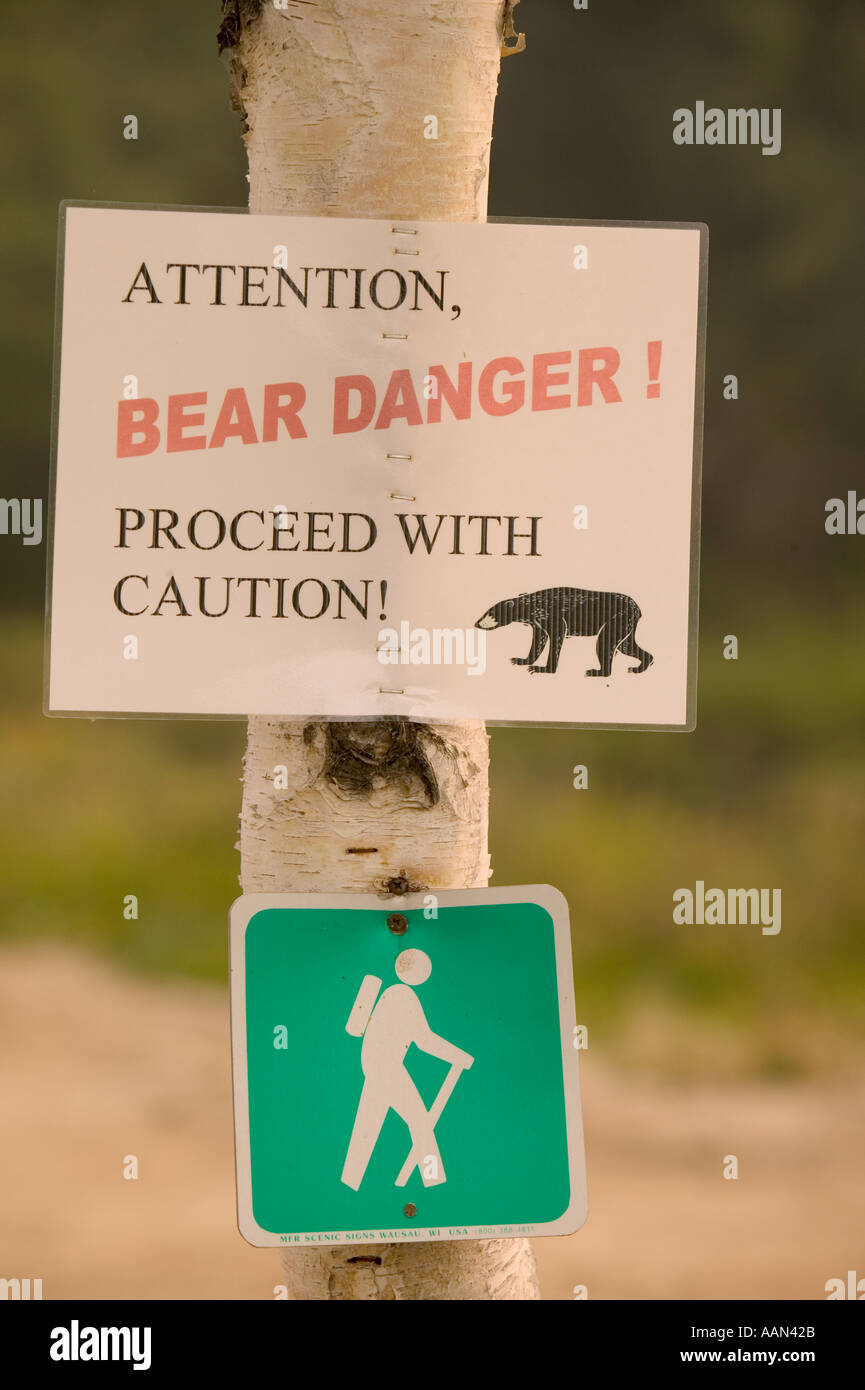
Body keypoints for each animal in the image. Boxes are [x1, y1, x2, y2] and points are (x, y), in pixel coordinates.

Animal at [475, 587, 653, 676]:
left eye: (490, 612)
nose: (477, 623)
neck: (530, 605)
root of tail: (637, 609)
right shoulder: (537, 622)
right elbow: (538, 641)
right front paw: (522, 660)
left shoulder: (548, 613)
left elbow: (557, 635)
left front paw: (544, 669)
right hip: (625, 624)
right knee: (626, 645)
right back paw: (639, 667)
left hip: (619, 617)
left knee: (605, 642)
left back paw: (598, 672)